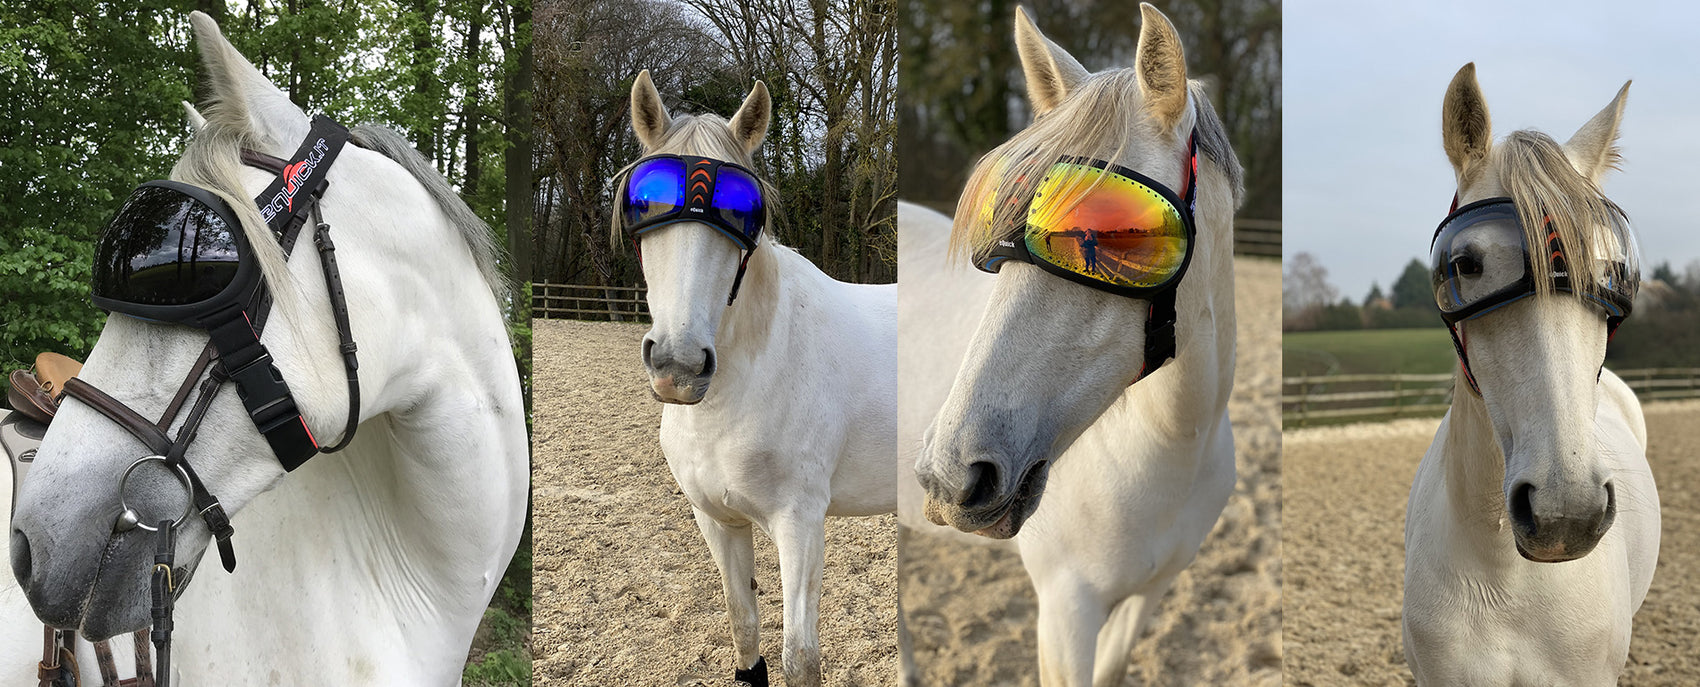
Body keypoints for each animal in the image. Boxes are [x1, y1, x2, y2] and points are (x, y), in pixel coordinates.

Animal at [617, 70, 896, 686]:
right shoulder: (719, 521)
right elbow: (743, 628)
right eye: (644, 204)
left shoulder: (801, 524)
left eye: (742, 212)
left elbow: (800, 658)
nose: (679, 366)